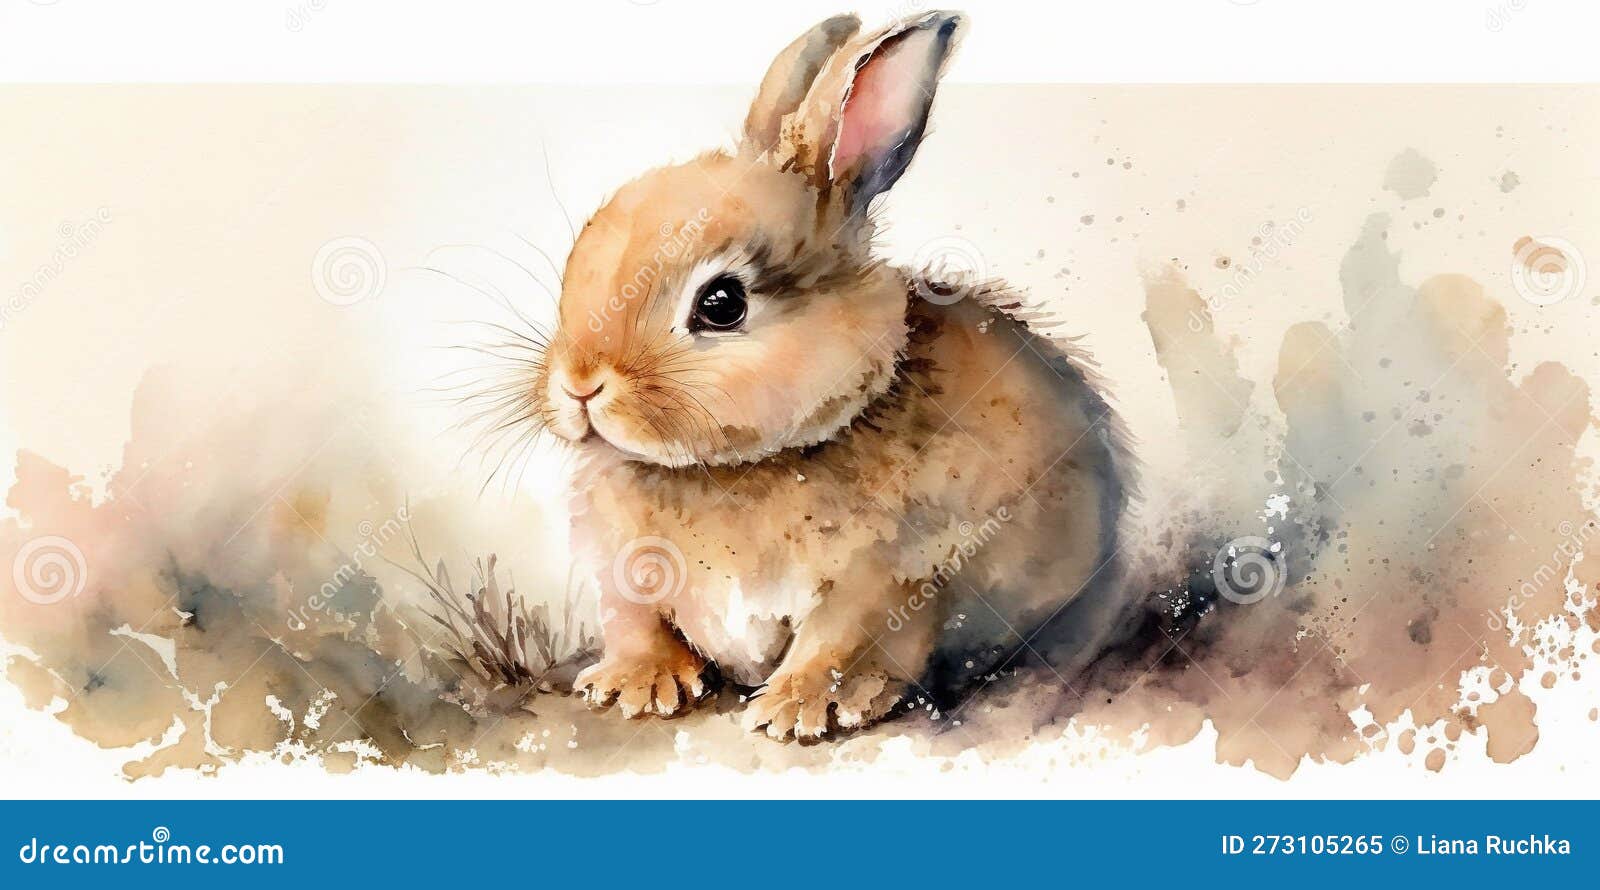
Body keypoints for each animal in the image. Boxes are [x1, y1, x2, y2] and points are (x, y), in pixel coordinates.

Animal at [530, 10, 1135, 741]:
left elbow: (844, 642)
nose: (580, 384)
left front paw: (801, 708)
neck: (738, 468)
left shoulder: (887, 579)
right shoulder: (623, 573)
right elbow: (635, 622)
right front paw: (636, 684)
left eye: (721, 304)